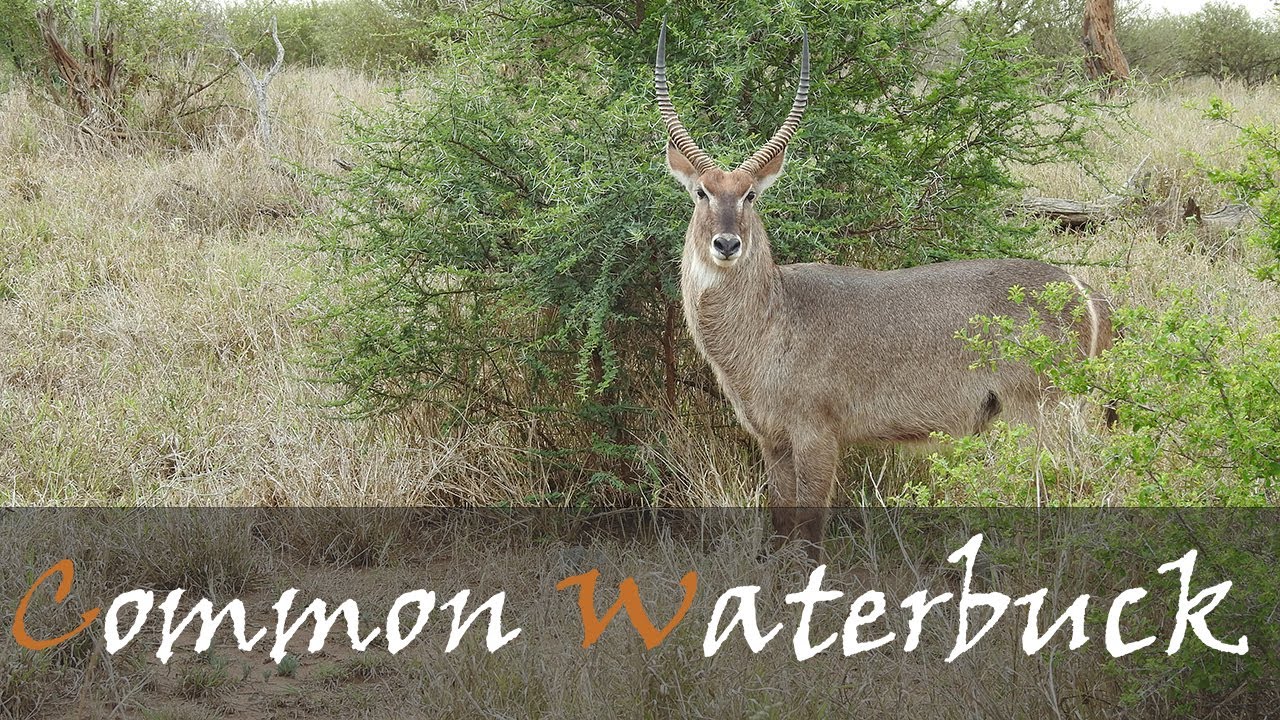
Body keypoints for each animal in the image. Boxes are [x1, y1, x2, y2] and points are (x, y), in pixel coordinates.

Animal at [655, 25, 1115, 558]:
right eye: (701, 192)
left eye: (750, 194)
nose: (727, 244)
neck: (773, 315)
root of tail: (1082, 288)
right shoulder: (773, 441)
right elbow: (780, 523)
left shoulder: (817, 435)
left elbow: (810, 530)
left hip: (1043, 412)